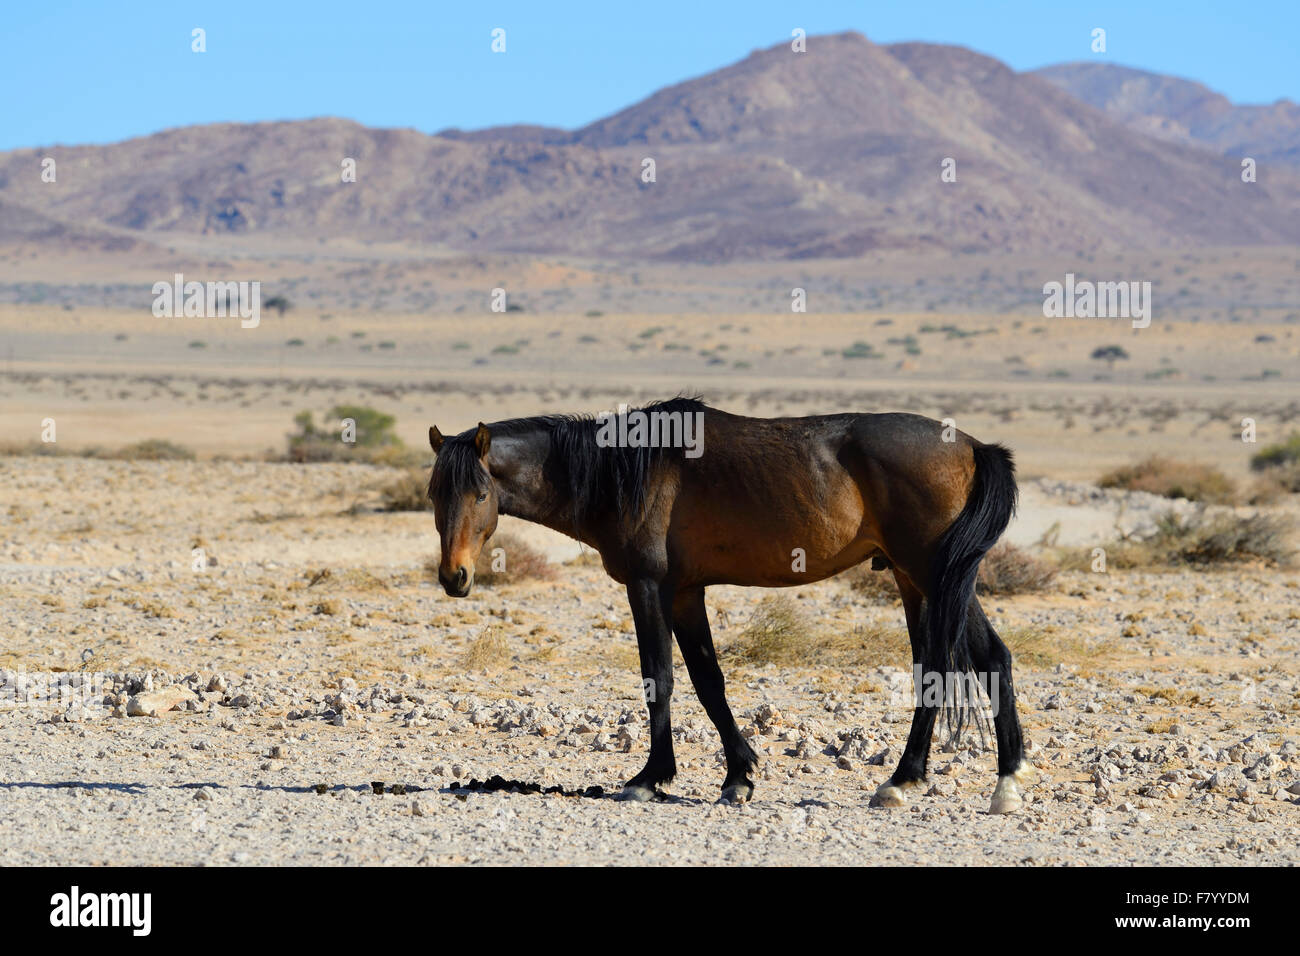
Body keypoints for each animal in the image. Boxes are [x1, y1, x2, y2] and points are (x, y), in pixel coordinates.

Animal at [426, 397, 1034, 813]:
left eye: (480, 492)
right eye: (435, 493)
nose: (455, 577)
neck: (626, 471)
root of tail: (972, 447)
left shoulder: (648, 585)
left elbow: (660, 677)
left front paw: (649, 778)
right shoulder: (685, 592)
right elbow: (708, 681)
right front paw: (738, 776)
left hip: (933, 576)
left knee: (960, 663)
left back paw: (935, 782)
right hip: (923, 581)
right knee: (970, 662)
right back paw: (970, 782)